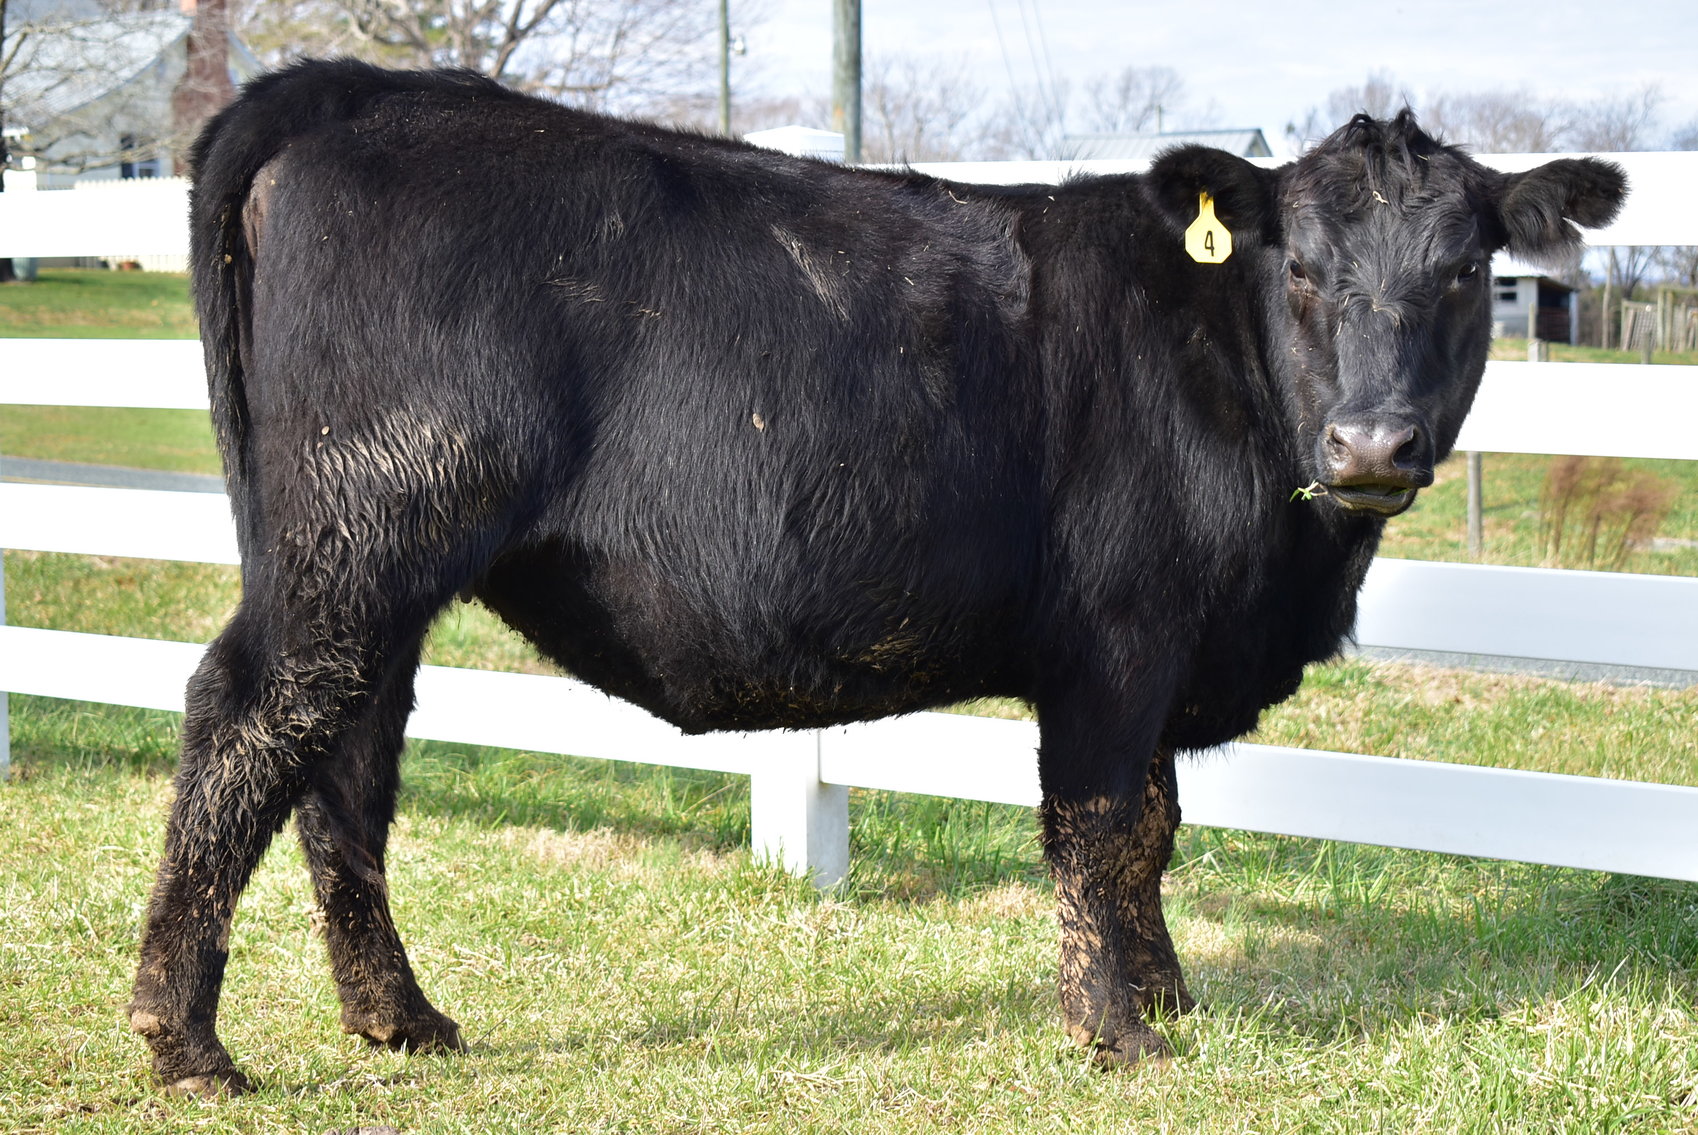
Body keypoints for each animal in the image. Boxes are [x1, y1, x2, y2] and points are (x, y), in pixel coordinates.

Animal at [125, 59, 1626, 1094]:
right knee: (249, 715)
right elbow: (1100, 825)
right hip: (365, 531)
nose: (1371, 442)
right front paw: (1117, 1030)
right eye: (1301, 266)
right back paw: (185, 1036)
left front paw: (1170, 998)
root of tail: (360, 89)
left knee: (346, 760)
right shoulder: (1115, 635)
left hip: (375, 564)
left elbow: (1152, 826)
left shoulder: (1162, 649)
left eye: (1464, 270)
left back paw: (399, 1017)